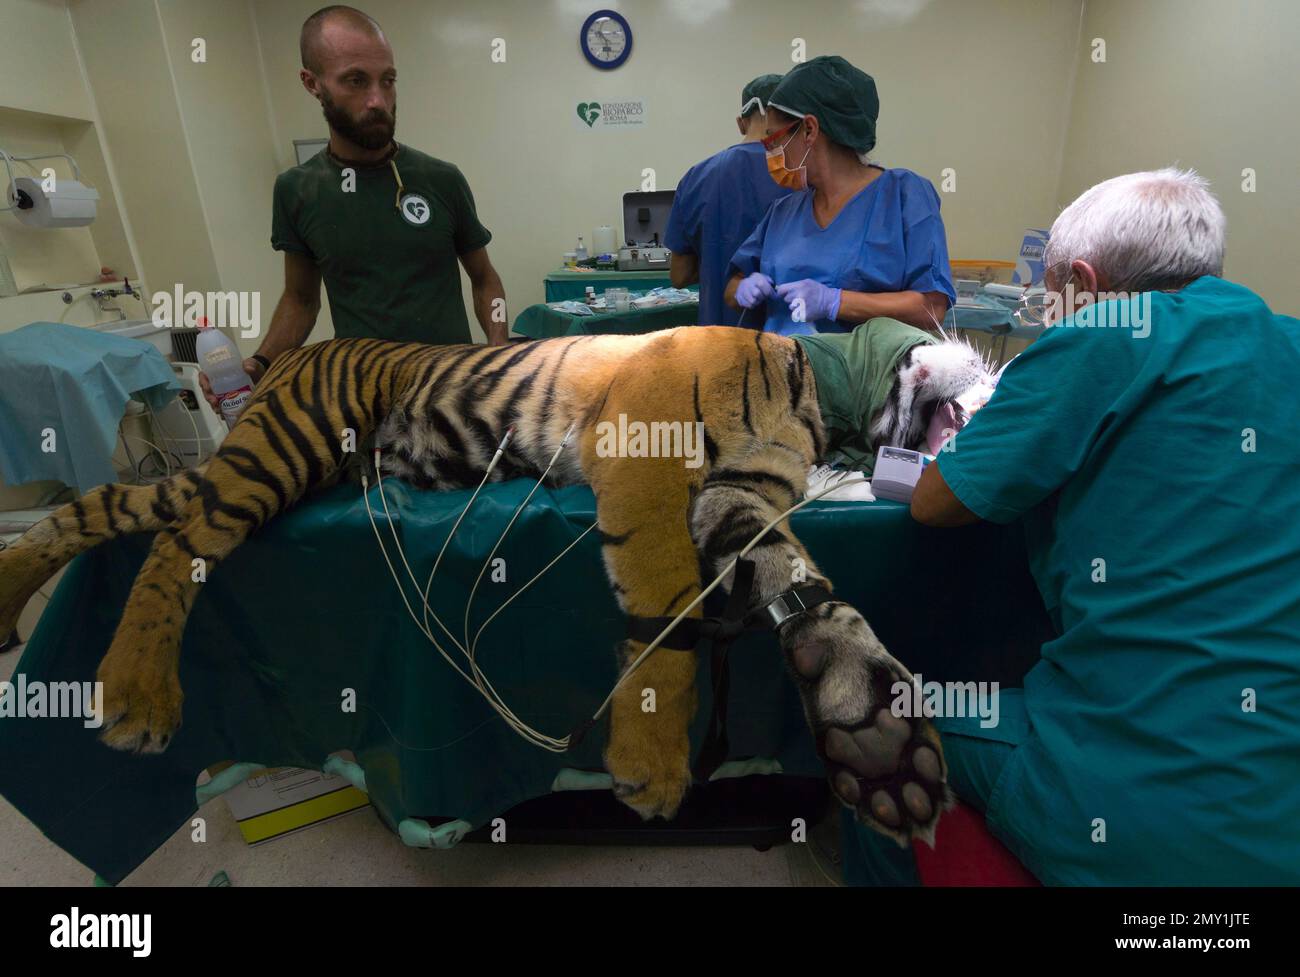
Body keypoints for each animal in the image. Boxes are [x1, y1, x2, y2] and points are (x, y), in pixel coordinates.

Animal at [0, 322, 996, 846]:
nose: (998, 372)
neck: (812, 394)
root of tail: (296, 349)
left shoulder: (736, 499)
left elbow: (806, 584)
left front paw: (875, 738)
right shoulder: (645, 445)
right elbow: (666, 606)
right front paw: (650, 764)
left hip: (255, 465)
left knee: (101, 509)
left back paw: (13, 592)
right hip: (282, 447)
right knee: (172, 544)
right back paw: (136, 696)